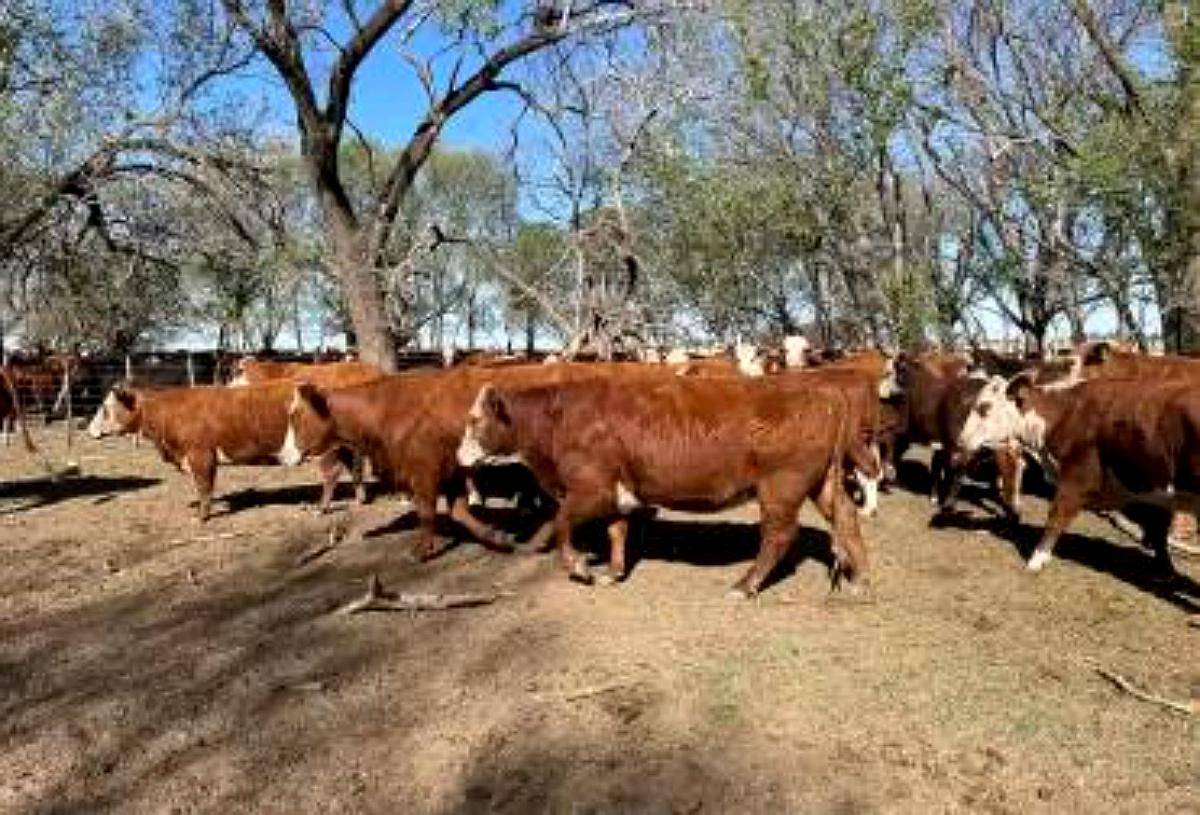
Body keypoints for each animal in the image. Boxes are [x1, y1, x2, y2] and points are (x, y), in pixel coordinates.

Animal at [87, 382, 360, 520]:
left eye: (105, 407)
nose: (89, 430)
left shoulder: (201, 455)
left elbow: (204, 487)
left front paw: (202, 516)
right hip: (343, 447)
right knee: (354, 469)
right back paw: (359, 499)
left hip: (326, 449)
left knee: (331, 474)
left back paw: (322, 508)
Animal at [455, 375, 869, 596]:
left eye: (475, 420)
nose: (459, 456)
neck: (559, 419)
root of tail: (820, 388)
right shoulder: (615, 493)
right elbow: (616, 530)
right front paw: (612, 573)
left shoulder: (590, 489)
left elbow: (561, 523)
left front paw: (580, 567)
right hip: (821, 483)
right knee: (847, 519)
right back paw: (860, 578)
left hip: (781, 487)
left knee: (779, 535)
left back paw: (744, 585)